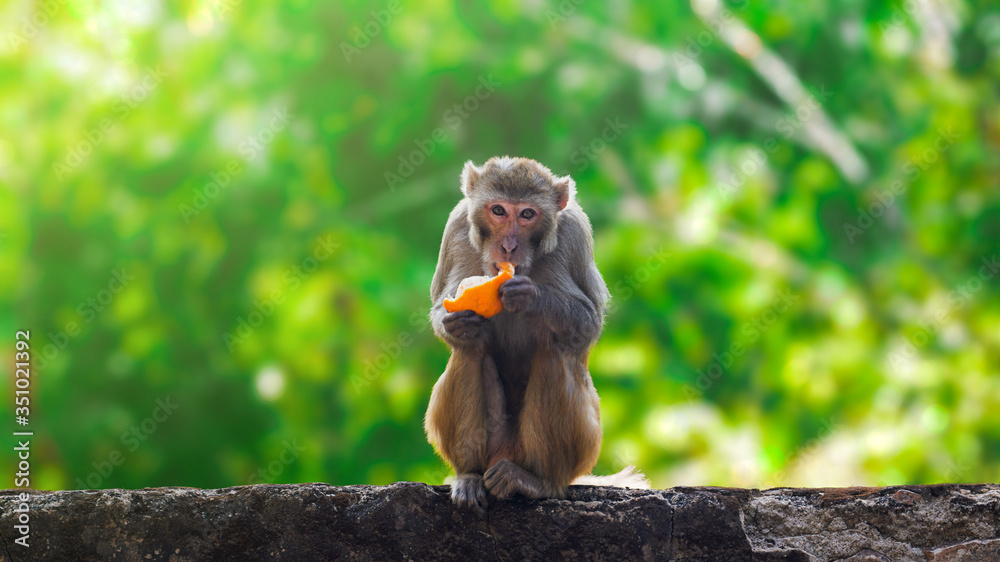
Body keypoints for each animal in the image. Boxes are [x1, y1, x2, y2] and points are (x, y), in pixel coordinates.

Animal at [425, 156, 648, 514]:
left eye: (527, 214)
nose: (509, 246)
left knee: (551, 346)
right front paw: (454, 321)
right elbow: (443, 306)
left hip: (582, 447)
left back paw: (537, 482)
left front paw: (530, 297)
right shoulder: (456, 226)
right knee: (470, 349)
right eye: (498, 210)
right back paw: (469, 475)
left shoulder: (575, 233)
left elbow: (589, 321)